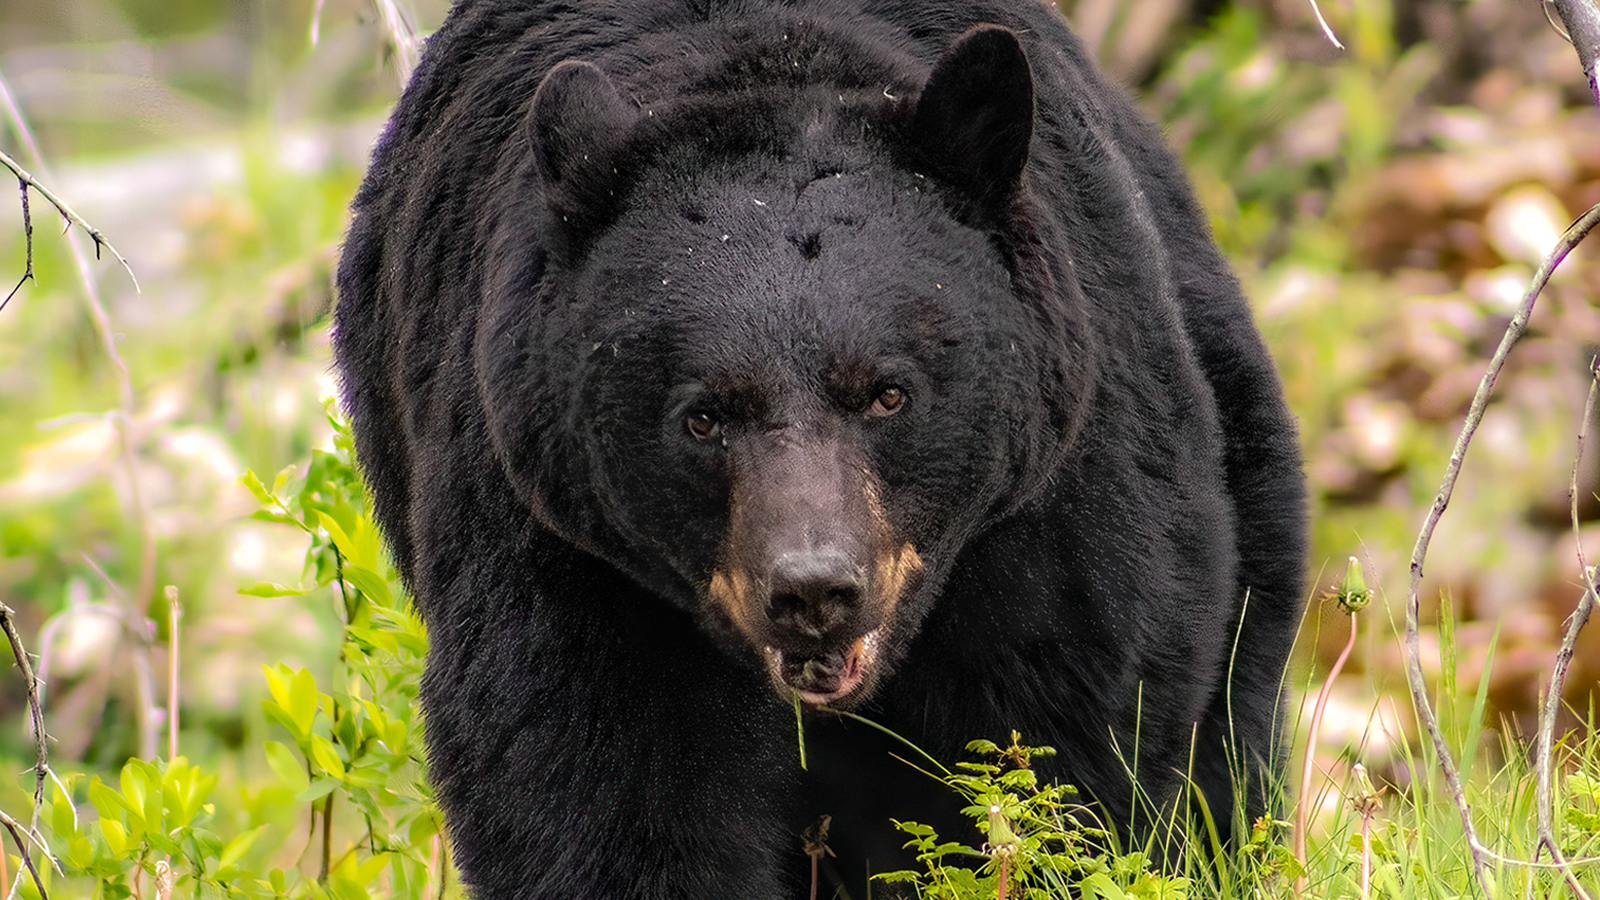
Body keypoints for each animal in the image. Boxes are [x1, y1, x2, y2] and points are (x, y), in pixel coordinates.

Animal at [332, 0, 1307, 897]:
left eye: (887, 393)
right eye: (703, 416)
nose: (813, 590)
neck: (770, 65)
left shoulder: (1064, 487)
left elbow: (1068, 733)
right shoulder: (551, 525)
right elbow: (591, 776)